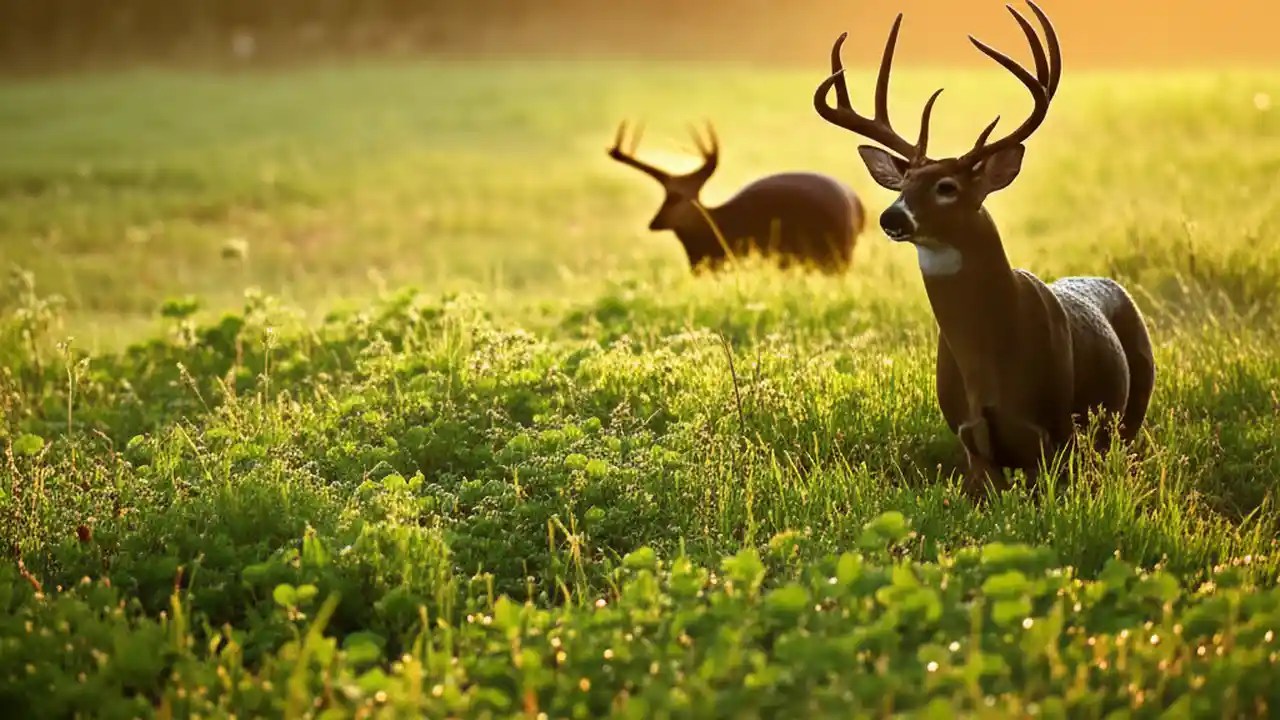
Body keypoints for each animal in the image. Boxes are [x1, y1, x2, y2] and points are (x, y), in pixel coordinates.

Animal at [812, 1, 1155, 500]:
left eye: (947, 187)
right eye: (904, 182)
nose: (892, 217)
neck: (990, 367)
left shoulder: (1054, 435)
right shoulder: (971, 442)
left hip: (1130, 413)